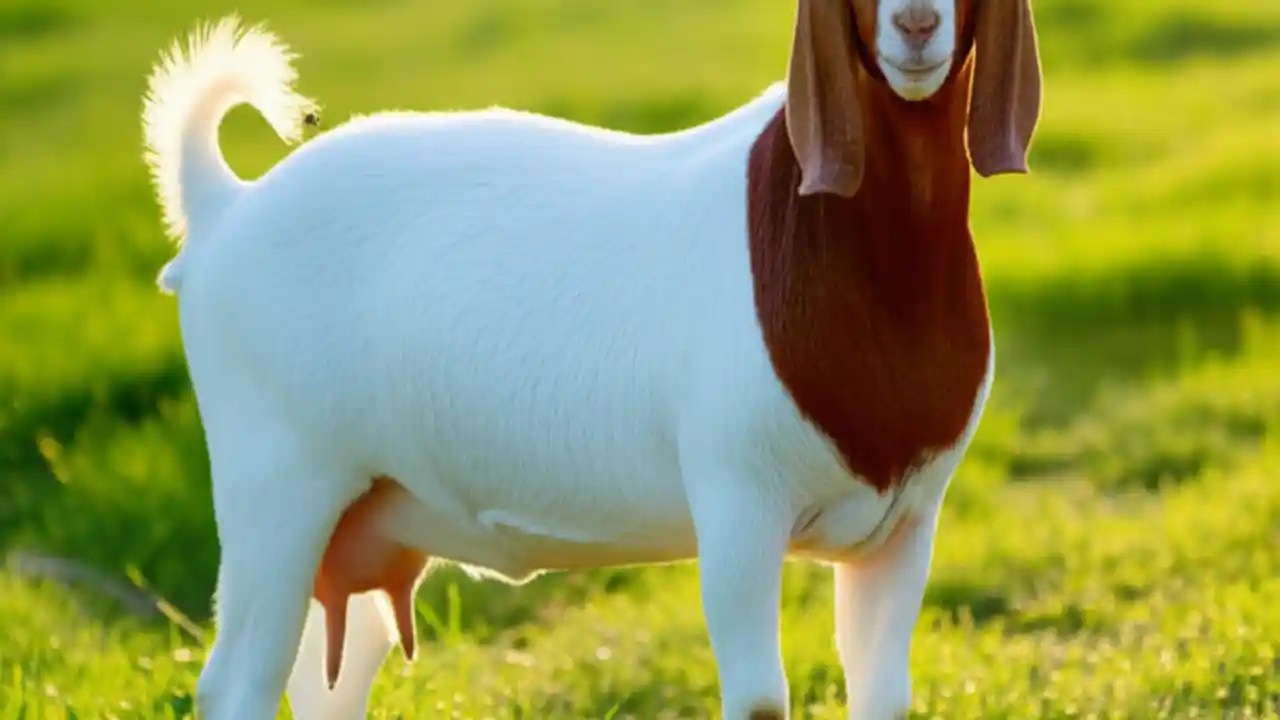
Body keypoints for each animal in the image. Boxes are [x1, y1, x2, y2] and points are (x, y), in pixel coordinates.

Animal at [142, 1, 1040, 717]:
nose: (916, 25)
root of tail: (226, 209)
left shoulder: (907, 524)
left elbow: (883, 694)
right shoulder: (738, 503)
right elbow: (758, 698)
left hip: (366, 510)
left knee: (325, 677)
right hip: (275, 481)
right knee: (240, 680)